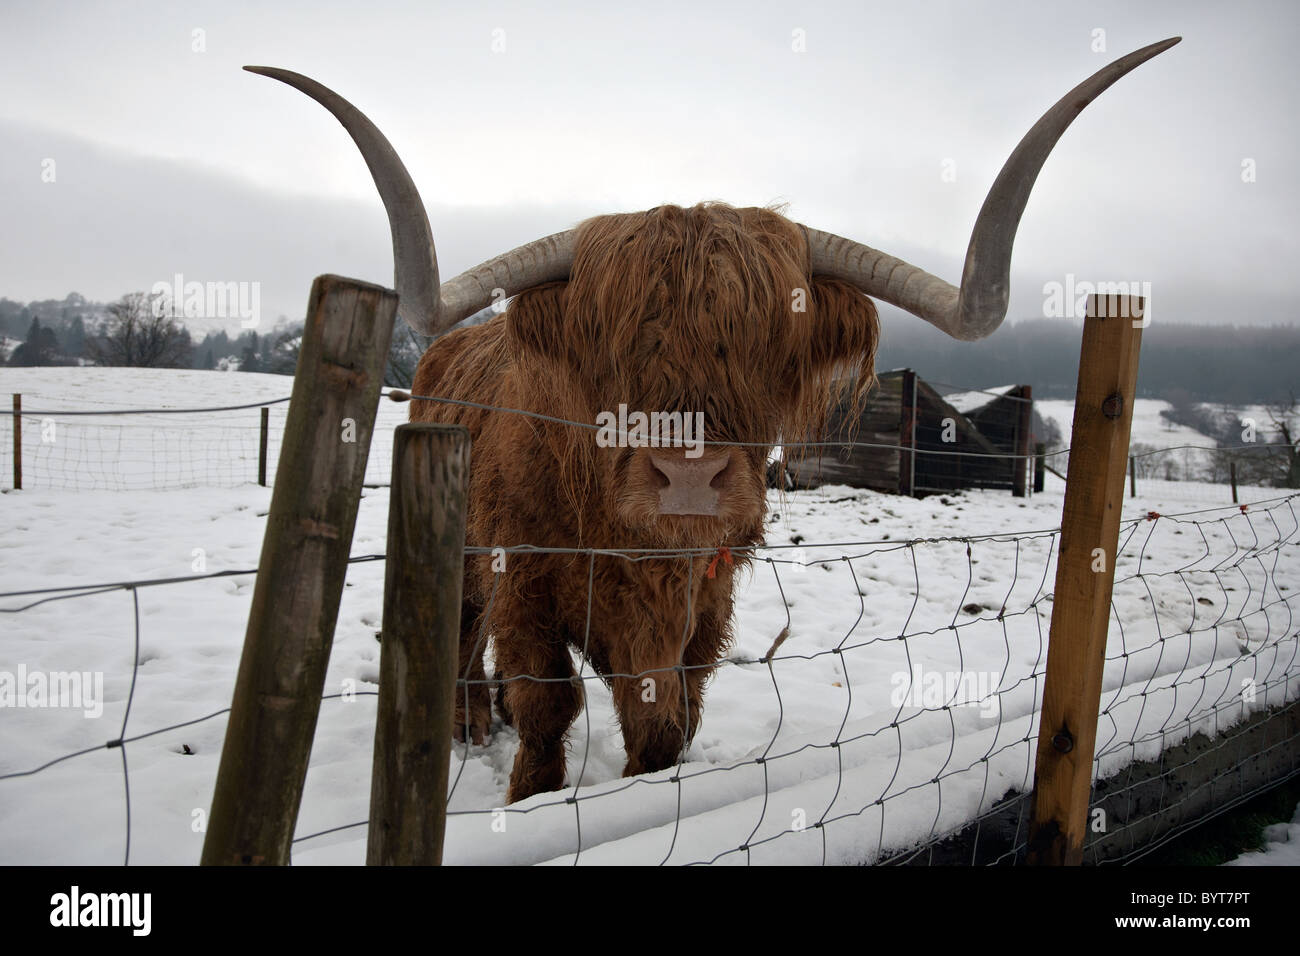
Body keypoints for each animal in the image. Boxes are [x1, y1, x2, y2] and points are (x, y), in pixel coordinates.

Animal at [246, 36, 1178, 803]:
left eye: (771, 344)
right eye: (611, 341)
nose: (688, 476)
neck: (636, 554)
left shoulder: (704, 607)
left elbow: (665, 722)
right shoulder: (527, 584)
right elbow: (549, 706)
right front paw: (527, 796)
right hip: (462, 555)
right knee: (465, 644)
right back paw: (472, 724)